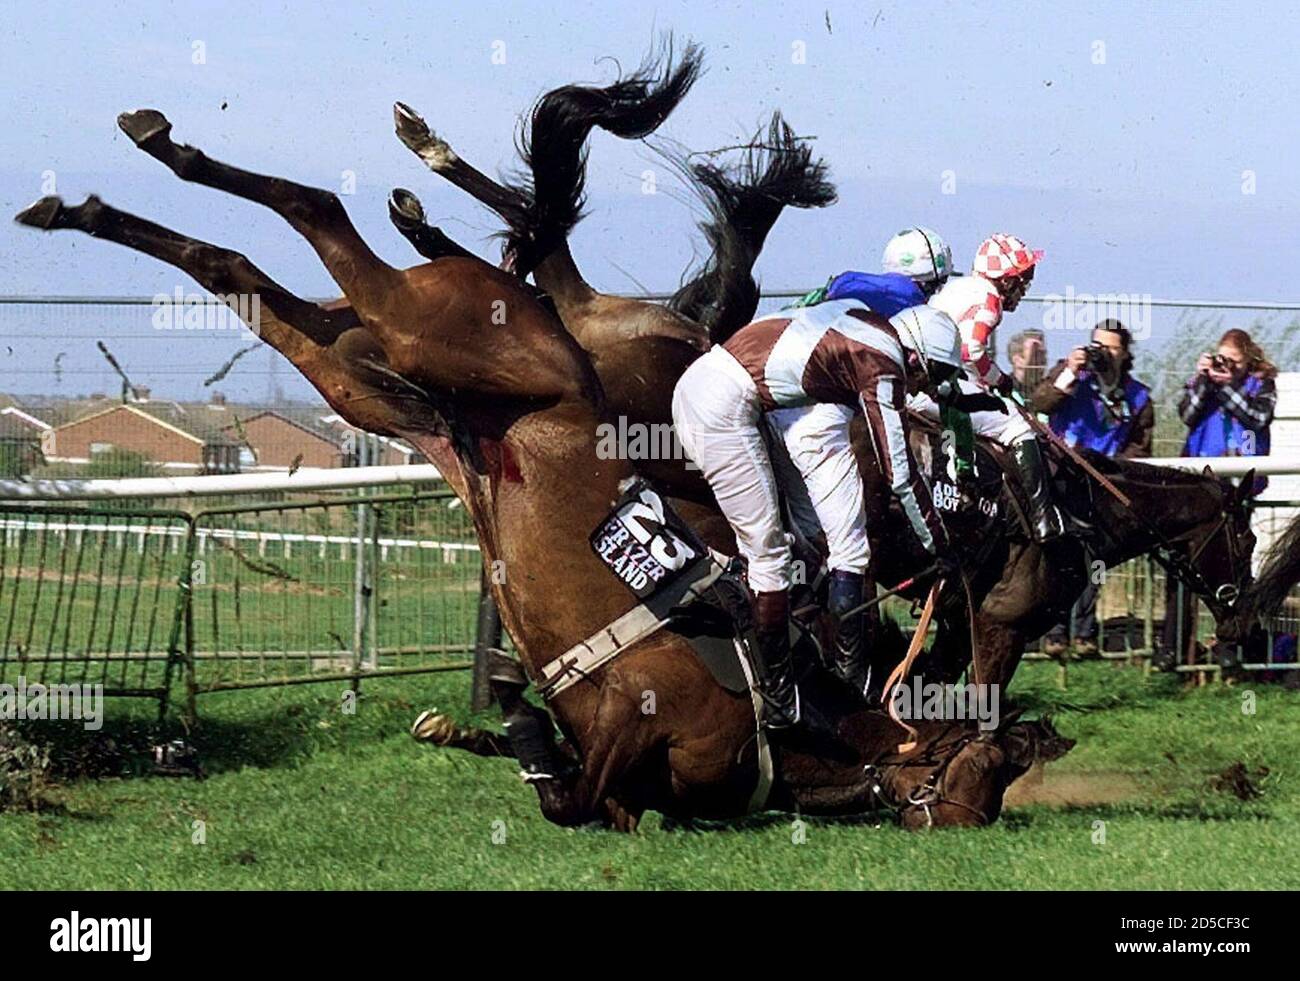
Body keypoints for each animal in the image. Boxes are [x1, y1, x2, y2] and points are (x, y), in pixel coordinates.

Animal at [15, 110, 1059, 829]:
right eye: (967, 785)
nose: (952, 819)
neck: (784, 723)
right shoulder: (641, 715)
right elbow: (577, 795)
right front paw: (511, 726)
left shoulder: (628, 770)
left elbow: (580, 791)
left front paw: (485, 725)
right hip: (431, 332)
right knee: (327, 208)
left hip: (379, 382)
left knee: (244, 267)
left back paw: (98, 195)